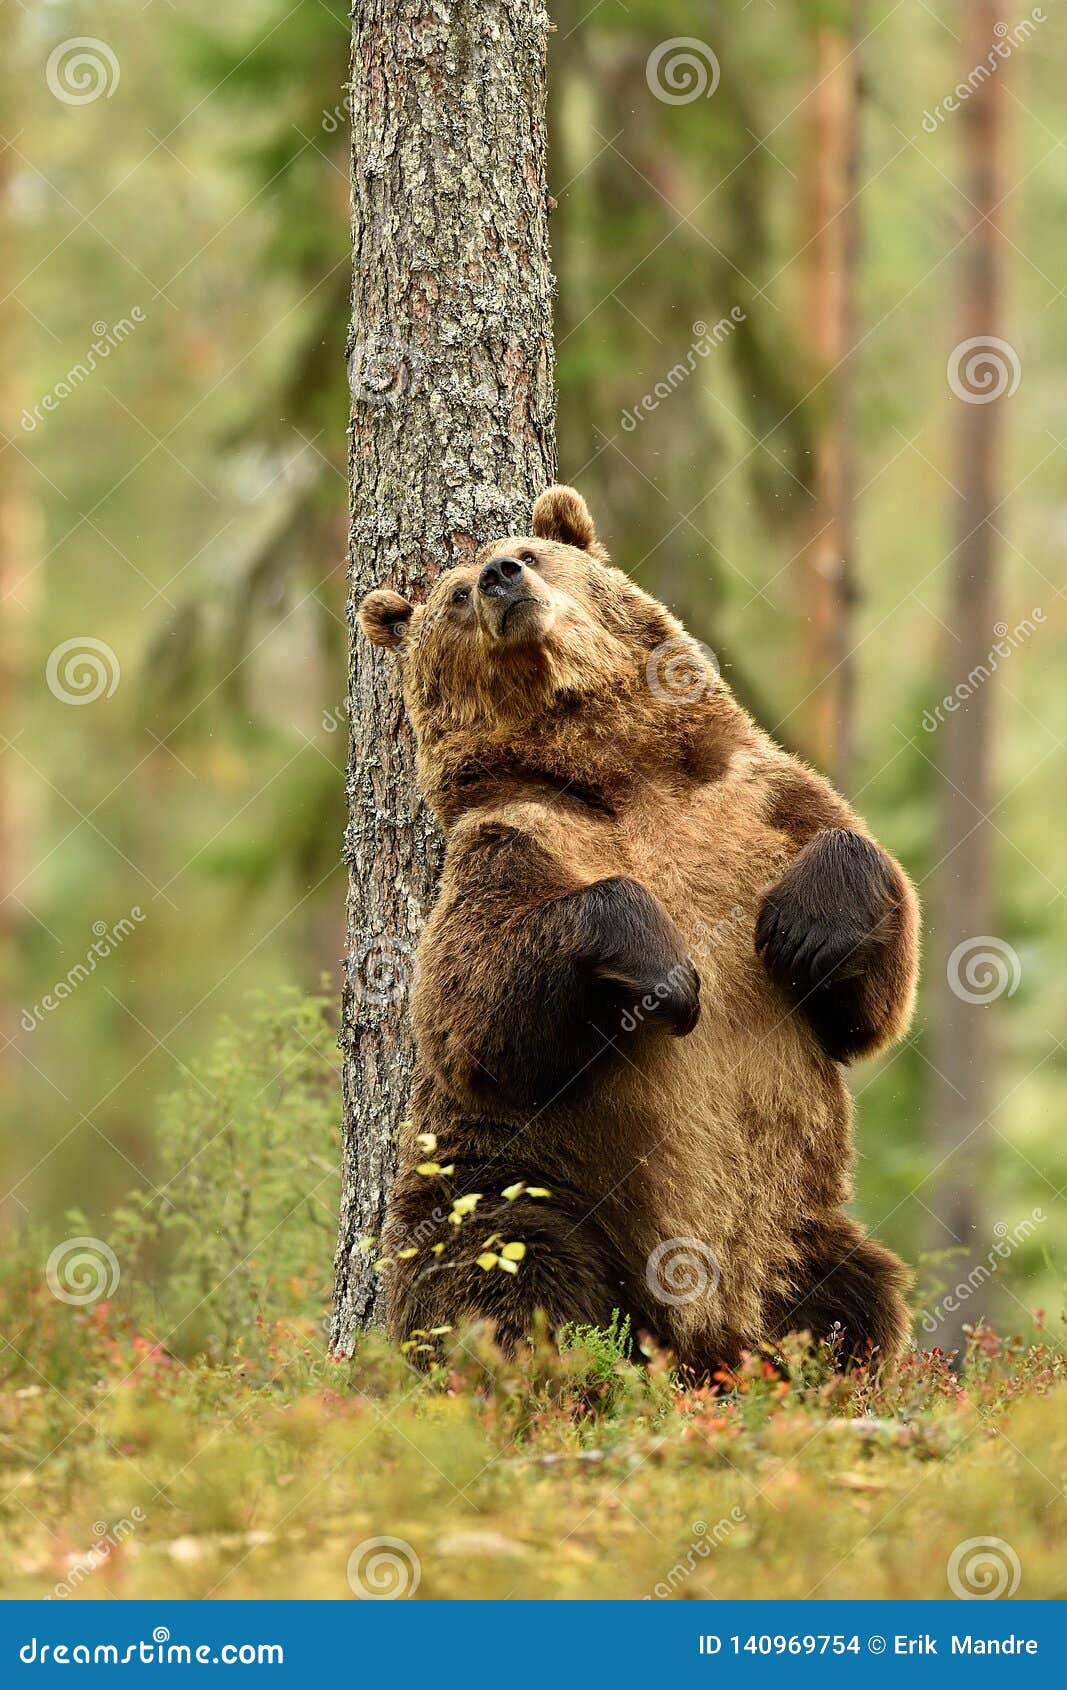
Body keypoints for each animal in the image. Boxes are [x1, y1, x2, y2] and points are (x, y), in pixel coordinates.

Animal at [358, 485, 919, 1376]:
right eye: (453, 594)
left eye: (529, 551)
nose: (499, 576)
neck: (621, 775)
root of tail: (697, 1337)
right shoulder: (513, 838)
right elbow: (468, 1004)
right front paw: (668, 974)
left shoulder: (754, 801)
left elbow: (872, 973)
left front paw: (802, 933)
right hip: (519, 1175)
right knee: (505, 1273)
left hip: (796, 1224)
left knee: (853, 1297)